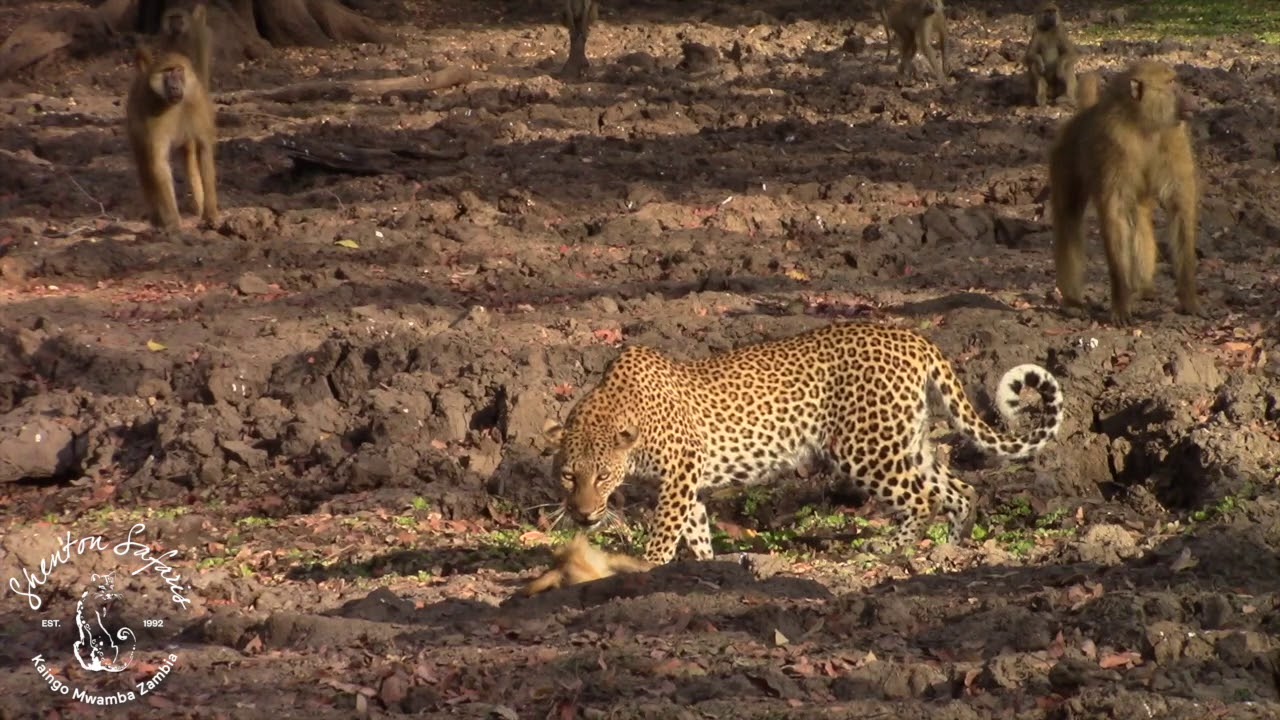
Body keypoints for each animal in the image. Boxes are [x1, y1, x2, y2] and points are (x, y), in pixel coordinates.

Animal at [125, 48, 219, 232]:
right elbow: (158, 162)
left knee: (190, 158)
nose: (174, 87)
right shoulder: (151, 114)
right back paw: (157, 220)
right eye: (167, 72)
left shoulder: (197, 102)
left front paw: (211, 215)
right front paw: (173, 223)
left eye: (178, 71)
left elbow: (204, 149)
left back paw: (198, 207)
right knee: (145, 167)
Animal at [542, 321, 1064, 565]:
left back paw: (888, 550)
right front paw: (704, 568)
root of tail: (909, 335)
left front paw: (649, 568)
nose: (583, 515)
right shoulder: (685, 483)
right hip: (904, 438)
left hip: (864, 446)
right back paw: (950, 551)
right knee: (958, 490)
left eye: (602, 476)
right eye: (568, 475)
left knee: (922, 499)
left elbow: (667, 530)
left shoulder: (680, 471)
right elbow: (695, 527)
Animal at [1048, 60, 1201, 327]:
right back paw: (1073, 302)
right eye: (1171, 83)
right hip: (1063, 156)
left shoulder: (1175, 137)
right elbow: (1115, 213)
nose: (1192, 98)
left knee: (1138, 217)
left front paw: (1188, 299)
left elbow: (1179, 208)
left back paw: (1142, 290)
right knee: (1069, 218)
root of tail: (1079, 118)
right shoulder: (1113, 144)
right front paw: (1120, 304)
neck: (1143, 124)